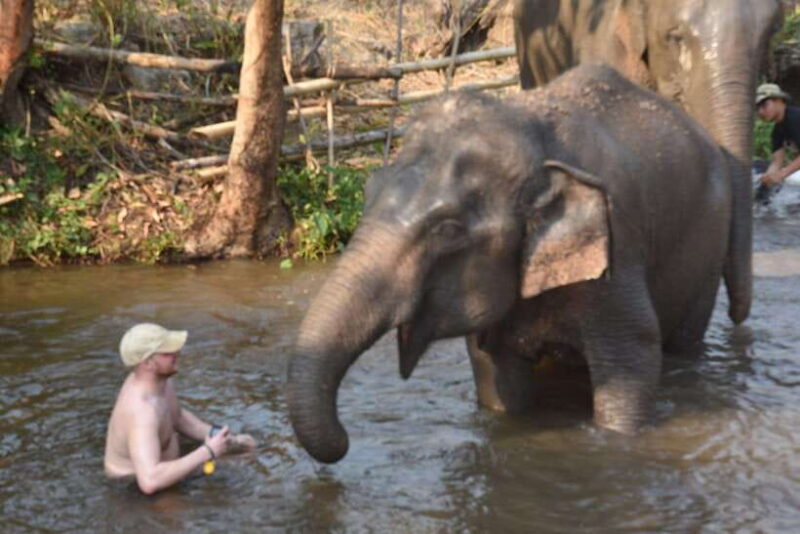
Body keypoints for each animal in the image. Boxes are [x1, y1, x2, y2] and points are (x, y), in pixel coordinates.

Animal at [287, 64, 736, 463]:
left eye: (448, 229)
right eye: (367, 193)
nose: (345, 440)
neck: (533, 133)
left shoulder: (619, 248)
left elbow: (634, 356)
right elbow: (496, 375)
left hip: (707, 247)